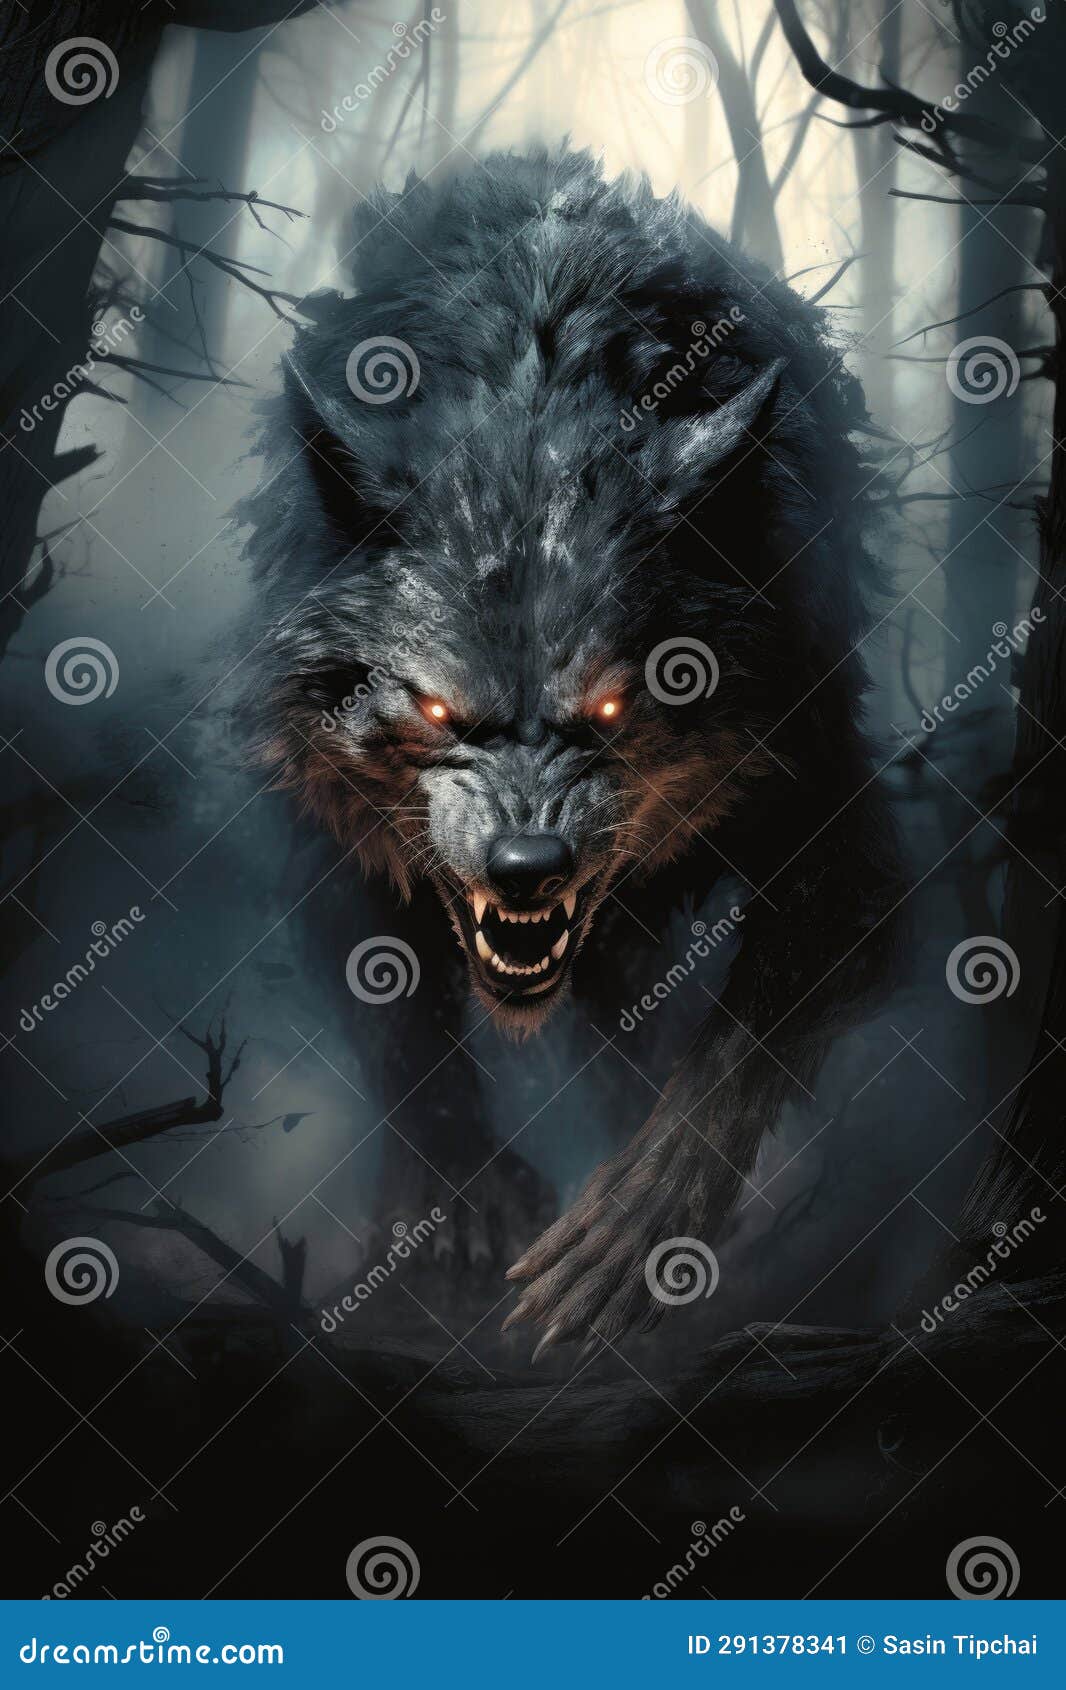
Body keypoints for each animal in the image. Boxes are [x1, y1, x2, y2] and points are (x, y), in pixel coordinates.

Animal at [242, 147, 904, 1353]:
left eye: (607, 710)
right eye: (439, 713)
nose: (525, 869)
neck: (536, 384)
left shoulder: (840, 828)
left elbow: (734, 1051)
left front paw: (631, 1236)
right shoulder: (324, 839)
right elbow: (403, 1032)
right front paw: (464, 1202)